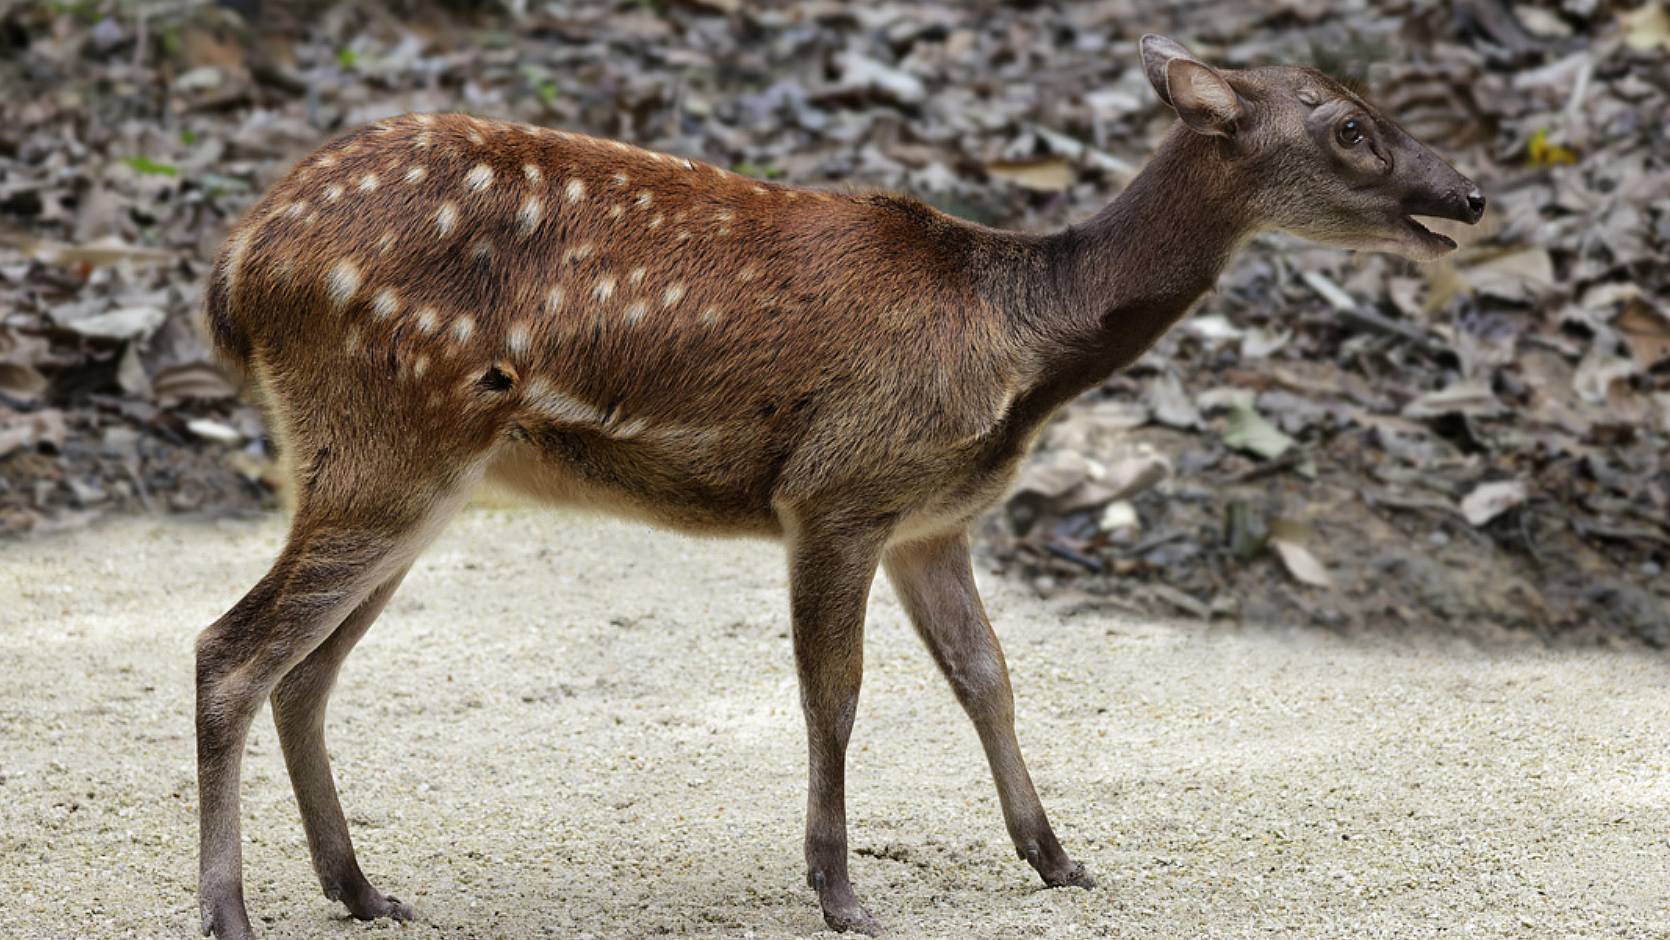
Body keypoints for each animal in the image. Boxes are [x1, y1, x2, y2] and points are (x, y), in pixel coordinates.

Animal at [192, 35, 1484, 938]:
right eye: (1352, 127)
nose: (1468, 194)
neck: (1018, 346)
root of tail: (238, 262)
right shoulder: (838, 488)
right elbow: (835, 695)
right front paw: (841, 893)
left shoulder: (933, 520)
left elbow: (986, 677)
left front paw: (1056, 856)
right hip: (389, 443)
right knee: (230, 649)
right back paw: (232, 909)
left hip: (406, 470)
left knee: (304, 671)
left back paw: (361, 888)